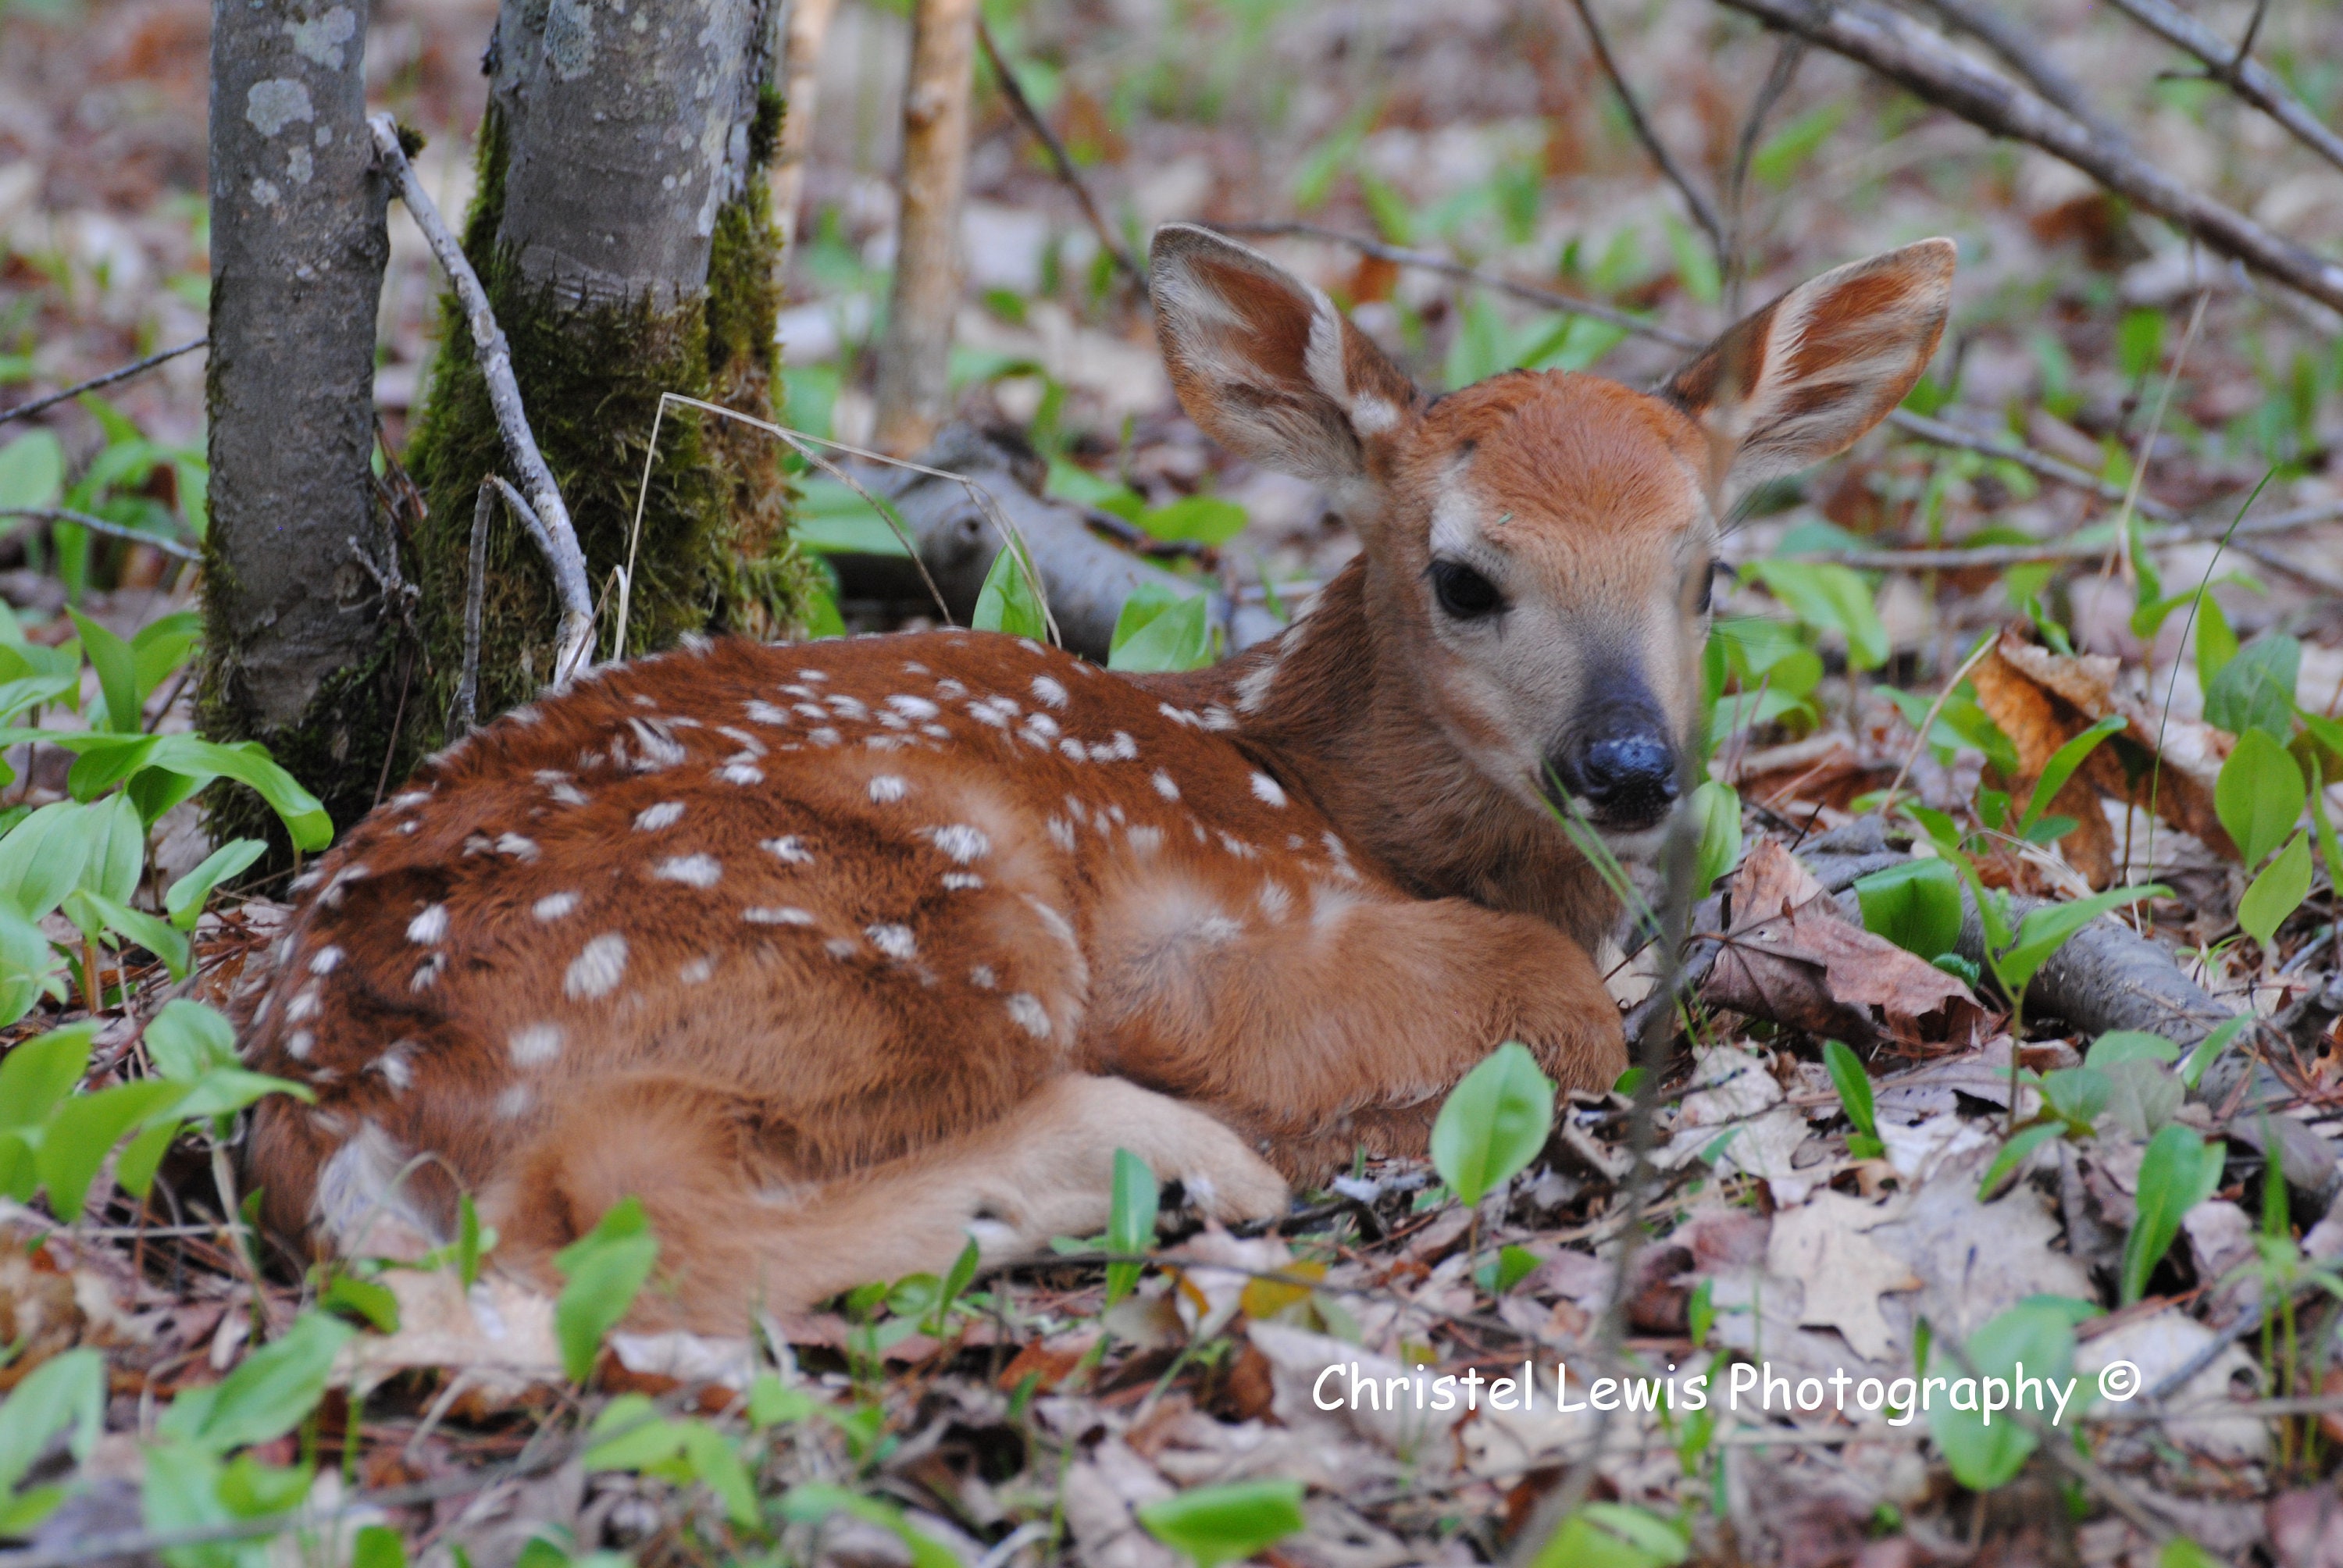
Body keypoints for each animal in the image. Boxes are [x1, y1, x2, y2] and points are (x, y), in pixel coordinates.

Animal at [241, 225, 1953, 1332]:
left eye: (1707, 572)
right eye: (1467, 579)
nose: (1628, 762)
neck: (1318, 789)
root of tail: (326, 1095)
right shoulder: (1203, 927)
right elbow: (1557, 995)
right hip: (903, 924)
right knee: (625, 1220)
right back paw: (1156, 1170)